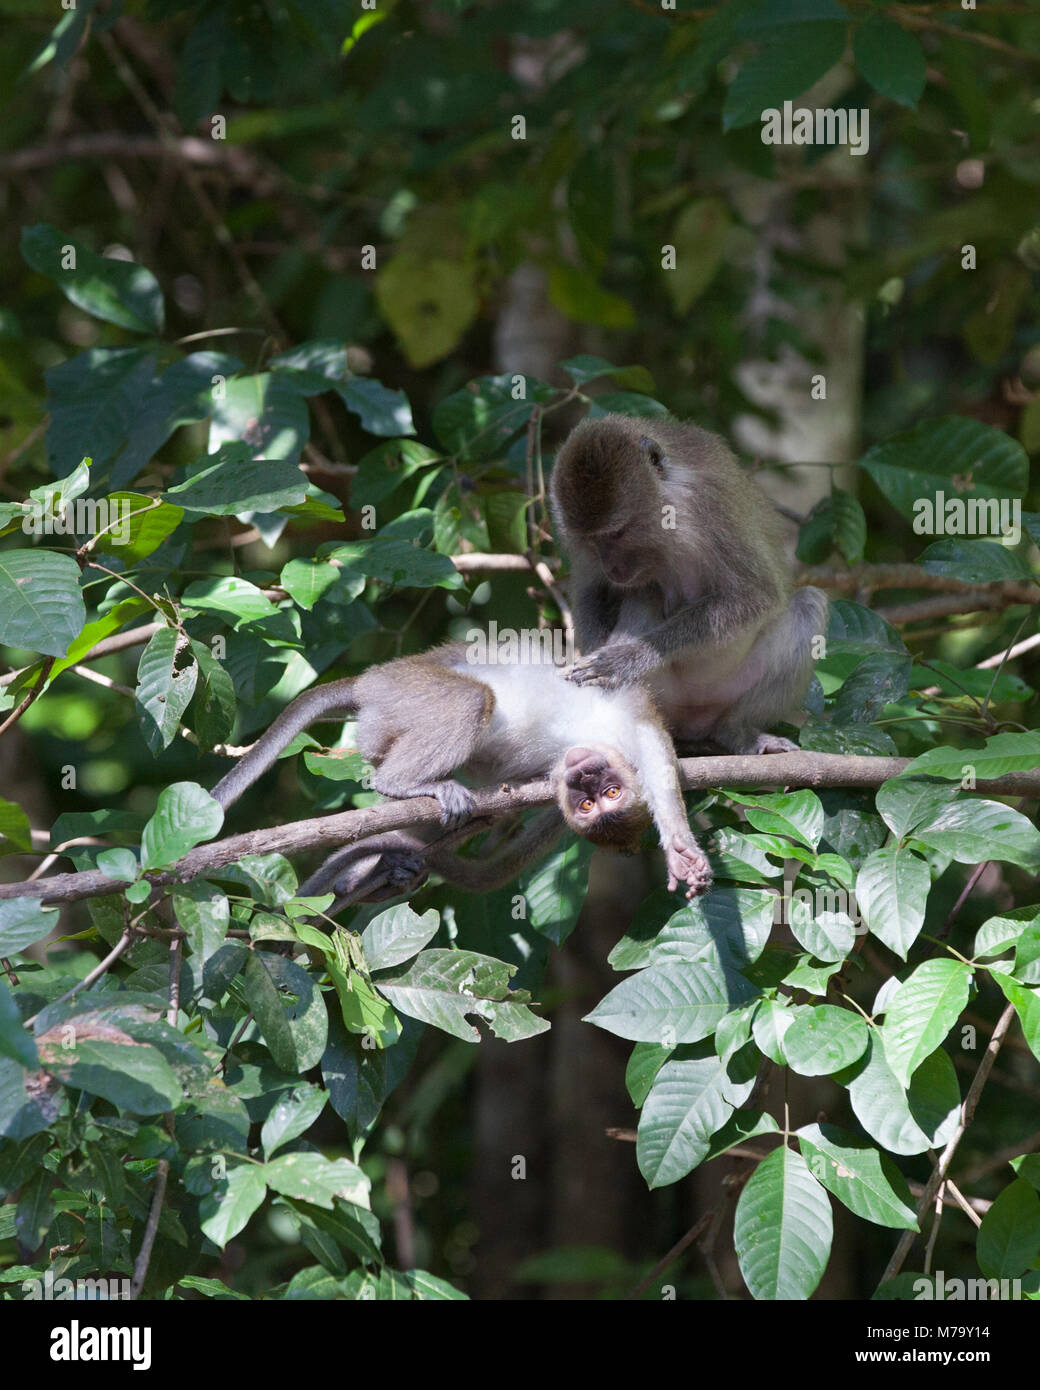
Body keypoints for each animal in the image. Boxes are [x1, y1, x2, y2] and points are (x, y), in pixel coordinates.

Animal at [210, 642, 713, 899]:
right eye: (595, 798)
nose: (586, 776)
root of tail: (367, 684)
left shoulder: (553, 807)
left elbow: (491, 857)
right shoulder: (628, 712)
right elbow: (657, 757)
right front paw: (681, 849)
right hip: (406, 689)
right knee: (473, 699)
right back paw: (400, 785)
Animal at [549, 413, 829, 756]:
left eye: (617, 533)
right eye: (591, 540)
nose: (612, 567)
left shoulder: (711, 501)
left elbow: (755, 594)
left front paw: (626, 658)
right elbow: (593, 589)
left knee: (808, 605)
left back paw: (738, 731)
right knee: (645, 593)